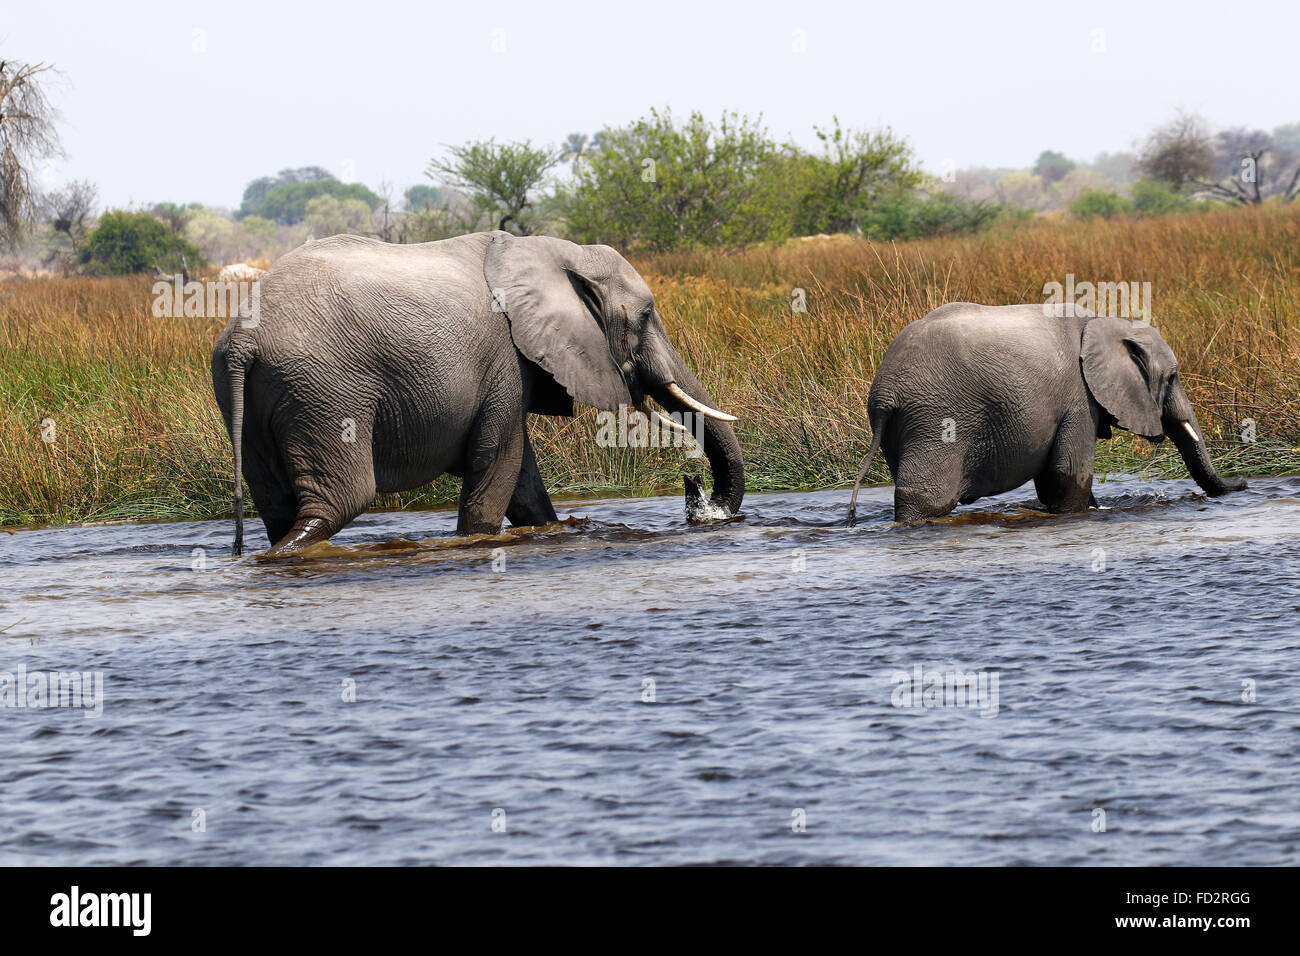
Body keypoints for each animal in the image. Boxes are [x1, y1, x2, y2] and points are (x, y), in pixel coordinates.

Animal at [211, 231, 745, 556]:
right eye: (645, 317)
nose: (693, 485)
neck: (549, 250)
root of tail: (243, 340)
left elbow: (524, 483)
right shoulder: (503, 360)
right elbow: (497, 465)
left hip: (257, 400)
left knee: (278, 505)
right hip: (326, 392)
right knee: (340, 501)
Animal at [847, 302, 1246, 524]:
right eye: (1173, 377)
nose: (1243, 483)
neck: (1106, 320)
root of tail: (884, 393)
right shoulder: (1077, 398)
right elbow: (1067, 476)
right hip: (934, 421)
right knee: (925, 499)